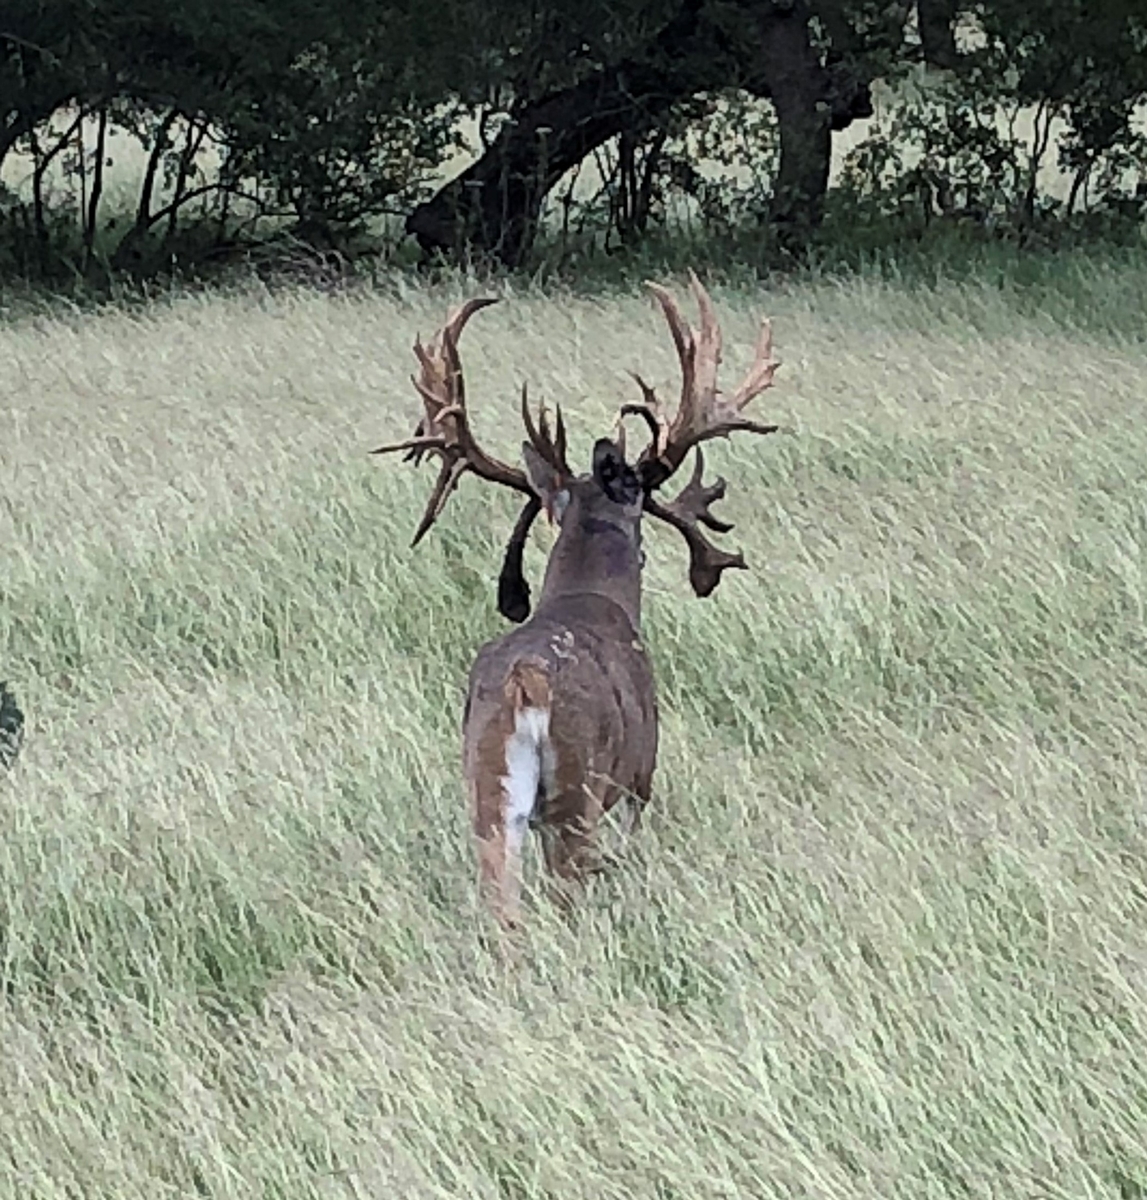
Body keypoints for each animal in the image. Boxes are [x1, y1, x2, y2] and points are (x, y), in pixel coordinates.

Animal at [372, 271, 782, 927]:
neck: (591, 596)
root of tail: (527, 681)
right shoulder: (641, 775)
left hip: (487, 790)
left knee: (502, 904)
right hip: (578, 792)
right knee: (569, 884)